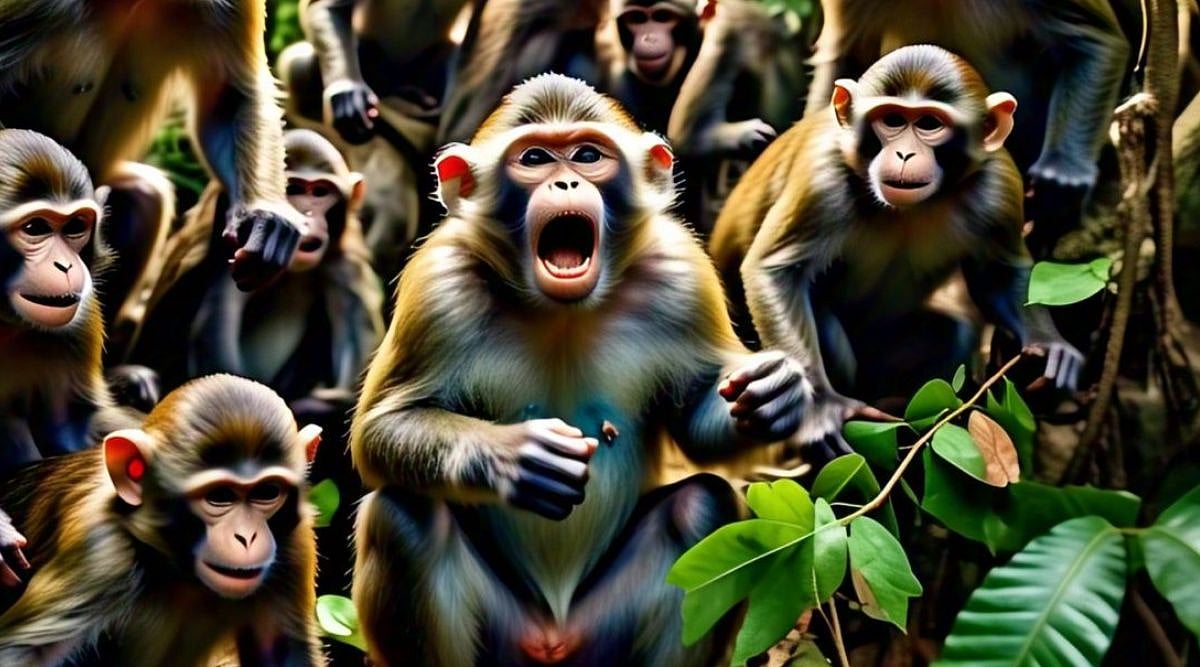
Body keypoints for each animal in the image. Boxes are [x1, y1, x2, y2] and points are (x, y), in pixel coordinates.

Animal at [0, 374, 324, 666]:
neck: (179, 569)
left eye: (268, 492)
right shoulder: (102, 552)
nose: (246, 537)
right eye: (219, 496)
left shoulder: (294, 546)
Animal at [709, 45, 1083, 446]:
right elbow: (776, 272)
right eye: (891, 120)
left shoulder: (997, 181)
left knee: (952, 334)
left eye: (930, 124)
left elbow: (998, 276)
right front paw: (818, 407)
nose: (905, 154)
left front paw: (1047, 344)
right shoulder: (824, 176)